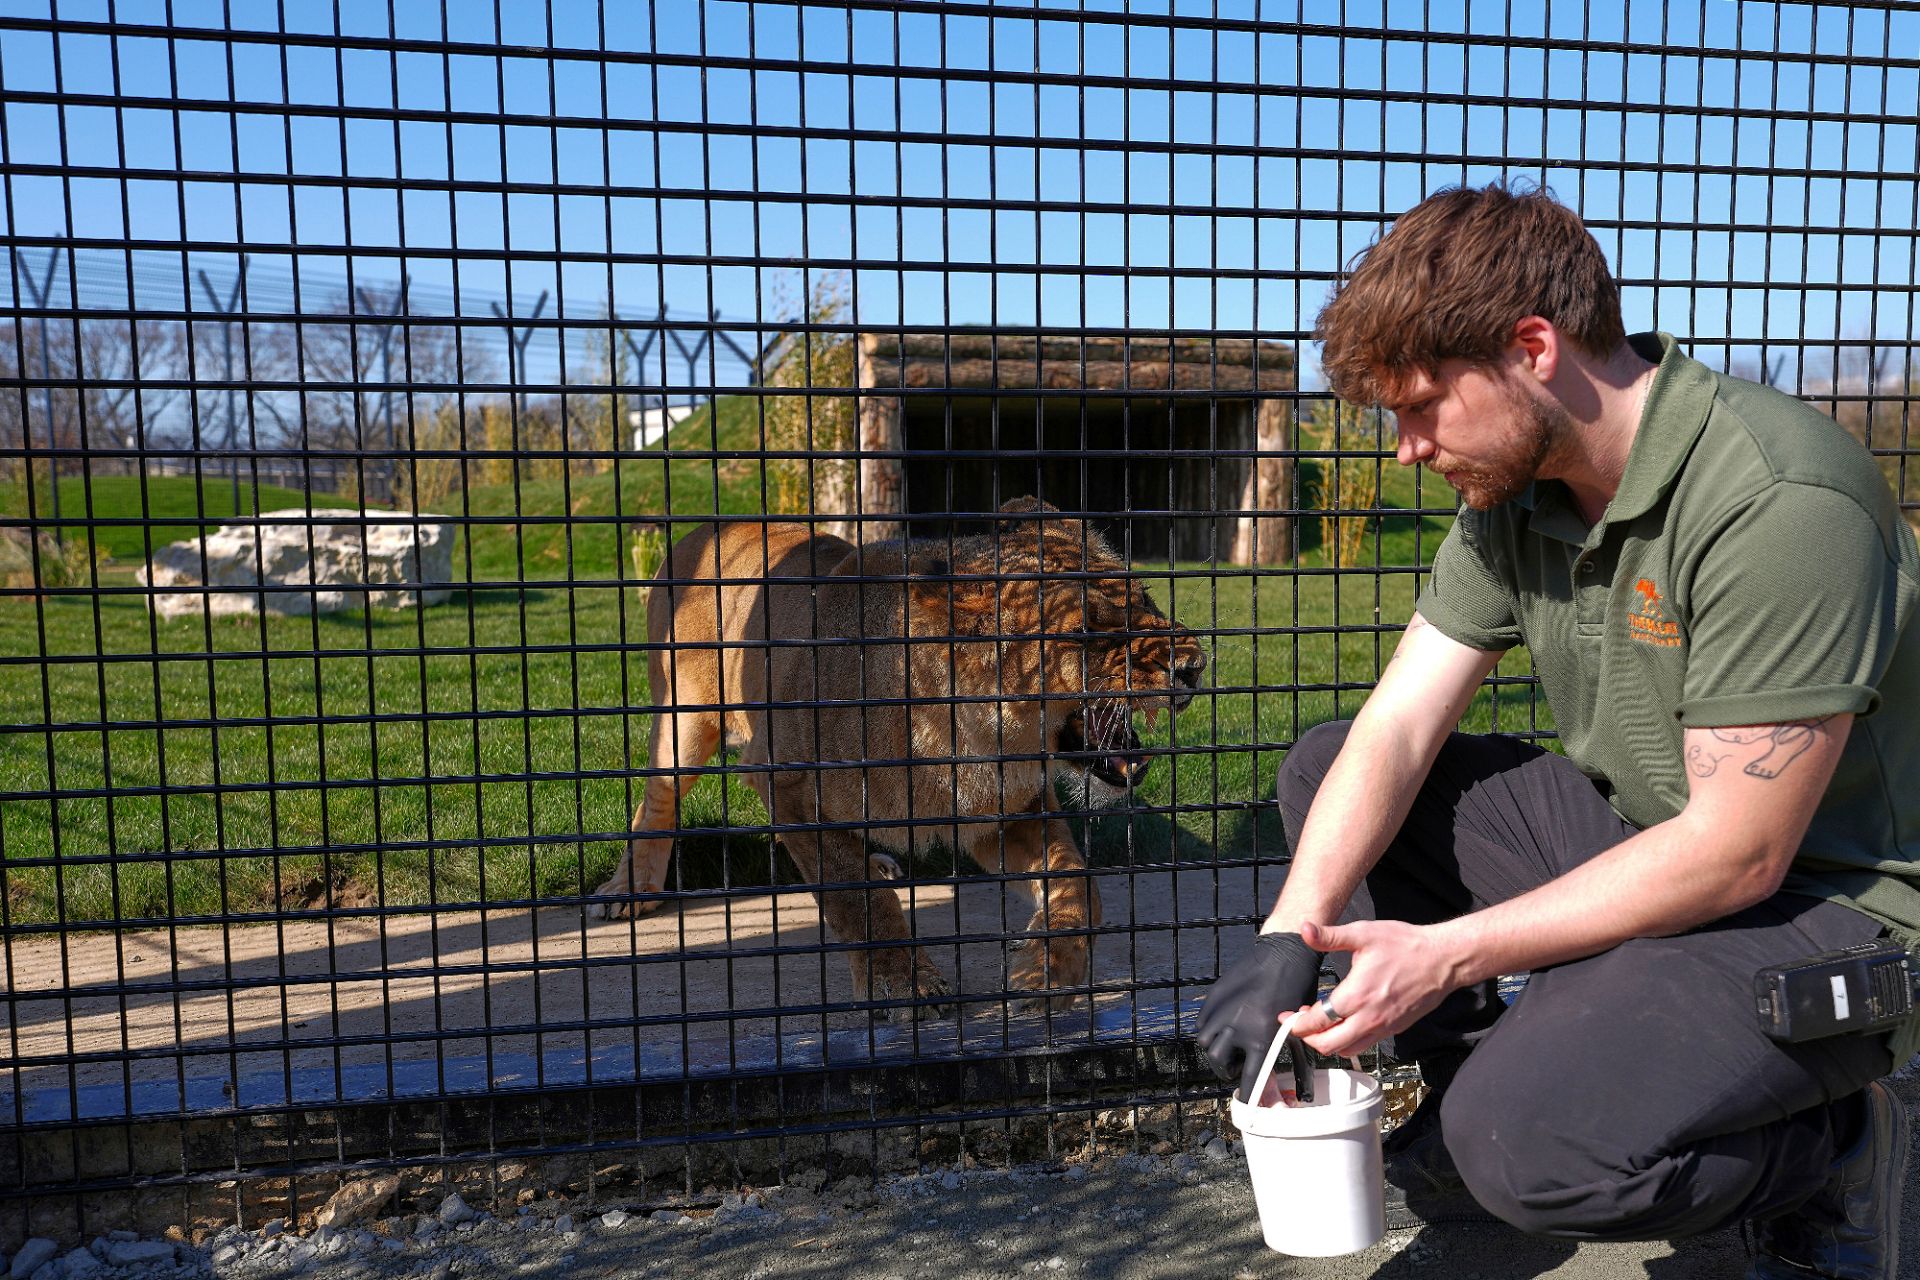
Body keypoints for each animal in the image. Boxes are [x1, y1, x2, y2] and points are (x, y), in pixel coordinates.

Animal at [592, 497, 1208, 1016]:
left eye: (1144, 599)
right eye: (1087, 630)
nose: (1194, 666)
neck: (971, 735)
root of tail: (710, 527)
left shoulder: (1009, 810)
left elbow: (1079, 882)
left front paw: (1047, 973)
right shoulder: (788, 784)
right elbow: (854, 901)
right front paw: (904, 984)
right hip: (684, 721)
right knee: (656, 802)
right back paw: (629, 891)